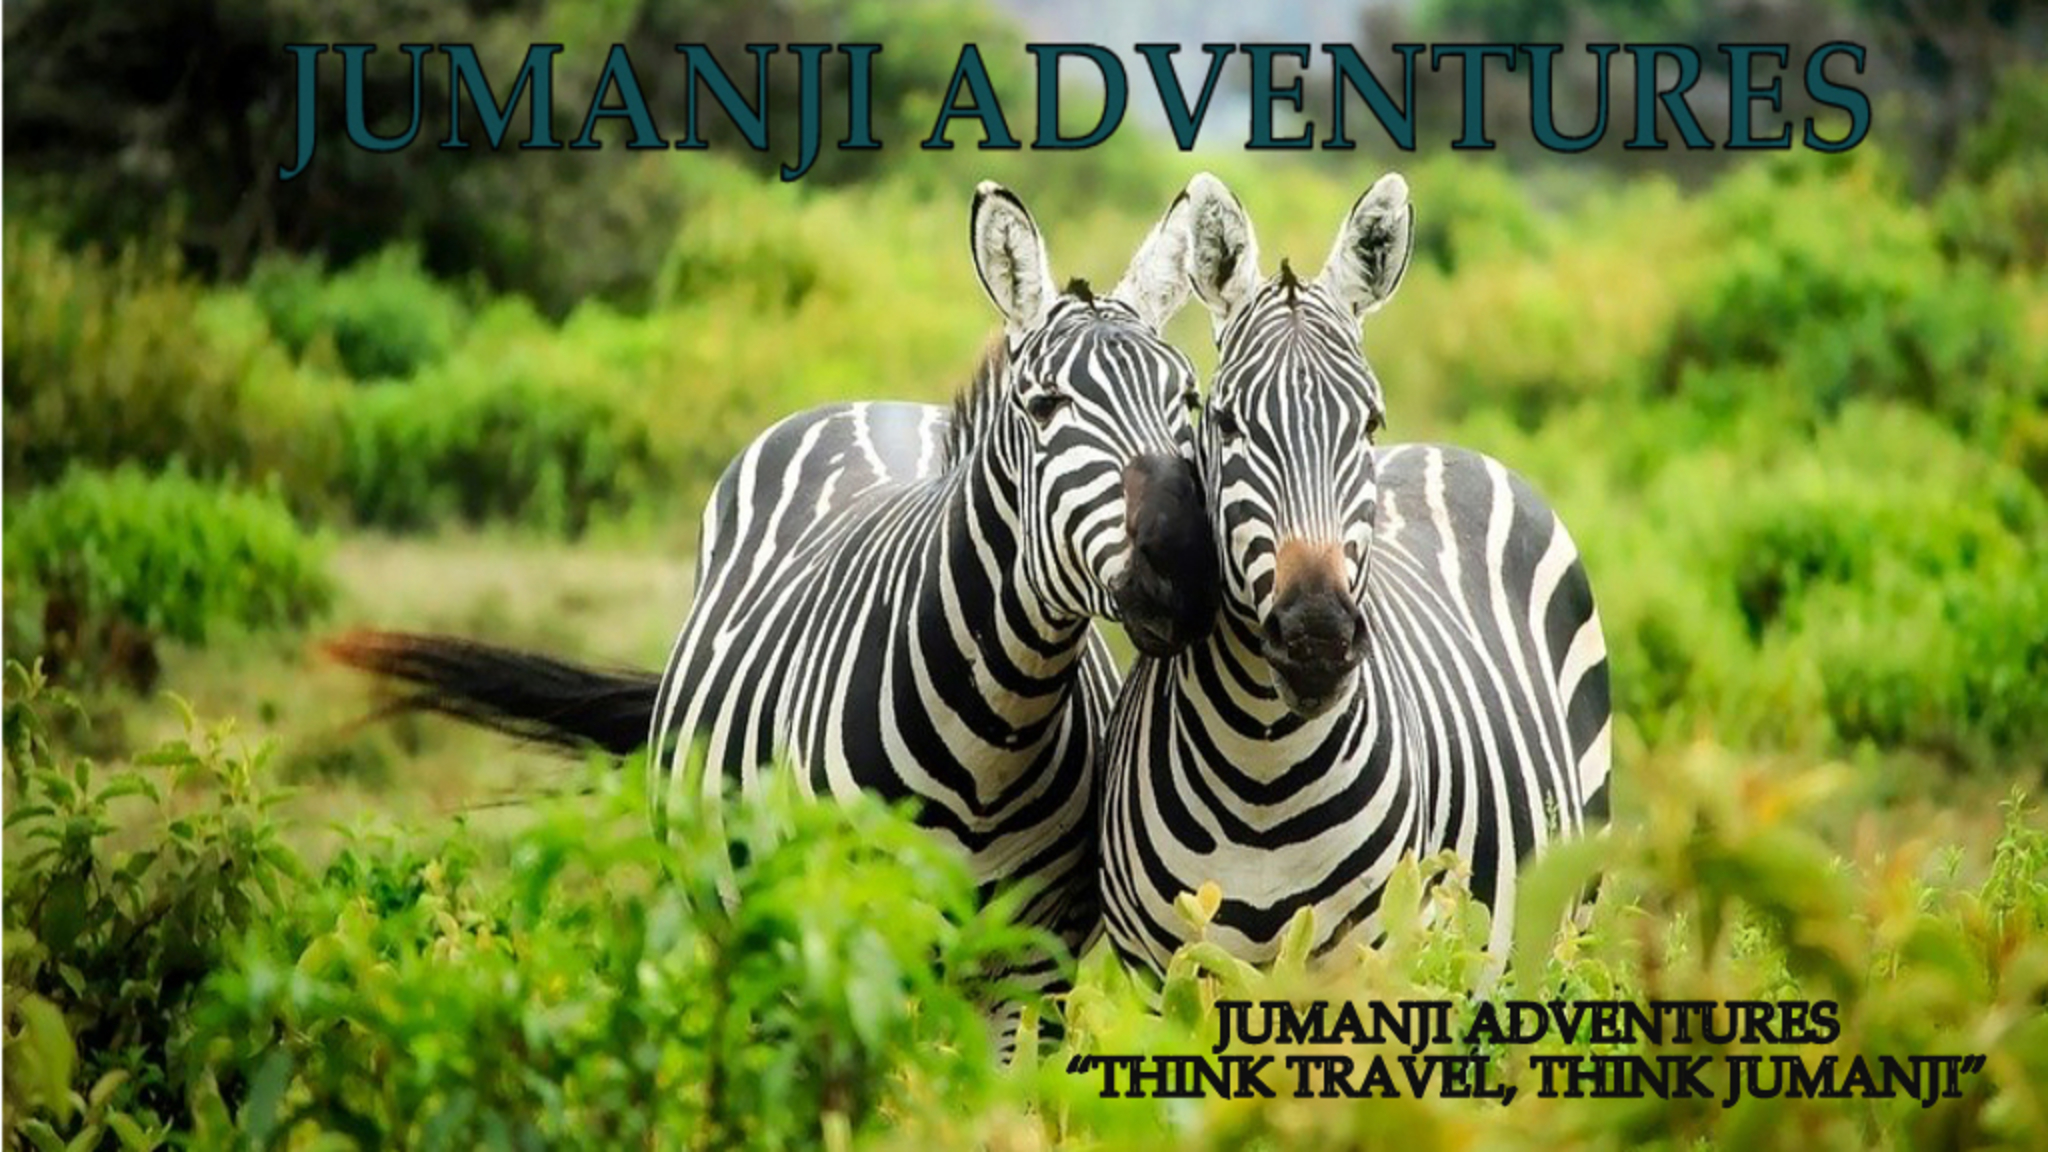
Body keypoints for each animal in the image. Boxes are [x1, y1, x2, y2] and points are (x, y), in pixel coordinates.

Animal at [326, 180, 1221, 1023]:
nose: (1185, 566)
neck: (994, 737)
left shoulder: (1032, 970)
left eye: (1188, 399)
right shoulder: (840, 942)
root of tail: (870, 405)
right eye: (1045, 407)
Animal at [1099, 172, 1612, 980]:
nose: (1317, 637)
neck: (1262, 775)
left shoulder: (1371, 966)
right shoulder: (1159, 975)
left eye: (1368, 423)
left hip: (1564, 925)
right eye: (1226, 421)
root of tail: (1450, 450)